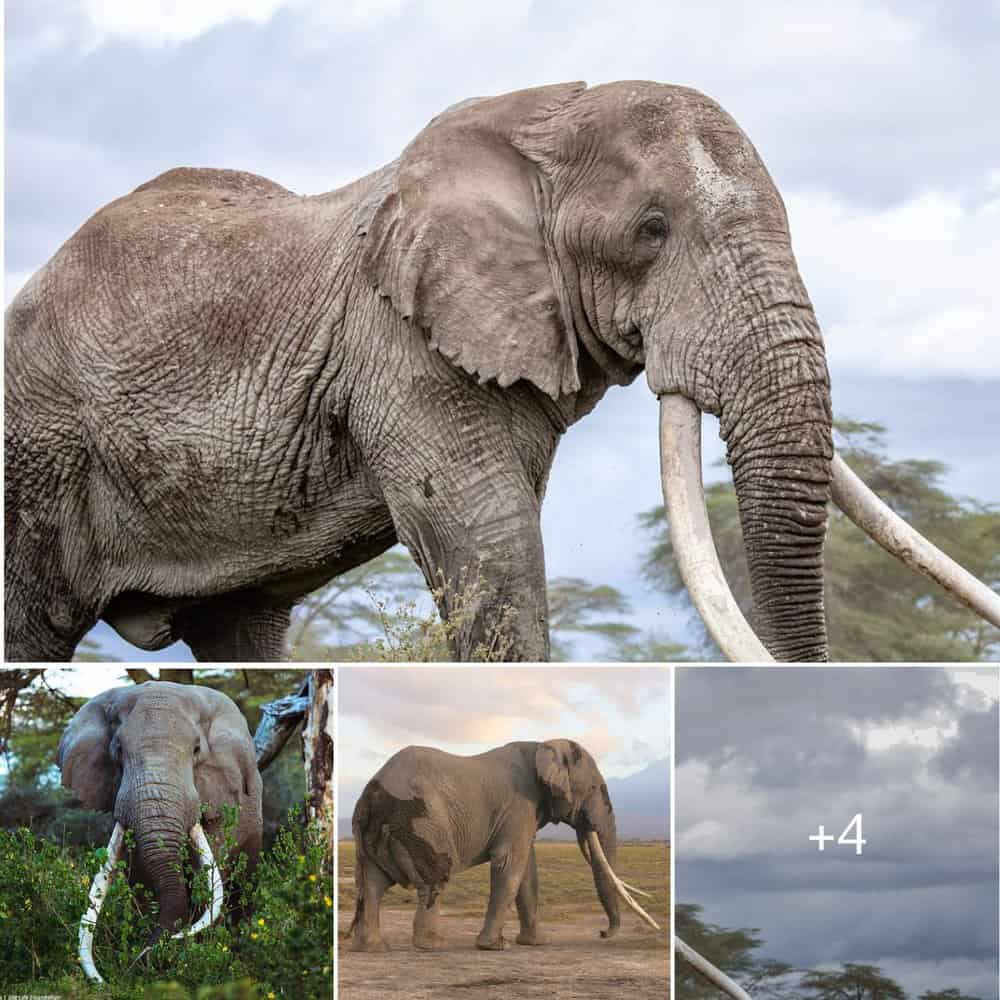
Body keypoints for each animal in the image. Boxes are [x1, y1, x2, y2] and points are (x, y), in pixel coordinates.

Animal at [6, 80, 998, 663]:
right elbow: (490, 538)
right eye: (652, 231)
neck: (544, 120)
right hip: (40, 450)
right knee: (35, 623)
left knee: (242, 630)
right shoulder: (397, 340)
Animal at [347, 739, 659, 952]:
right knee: (432, 881)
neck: (545, 745)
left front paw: (536, 943)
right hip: (421, 823)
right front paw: (496, 946)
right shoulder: (520, 805)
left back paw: (373, 948)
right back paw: (433, 945)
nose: (602, 934)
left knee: (373, 884)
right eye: (595, 789)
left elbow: (528, 871)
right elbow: (510, 863)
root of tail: (369, 794)